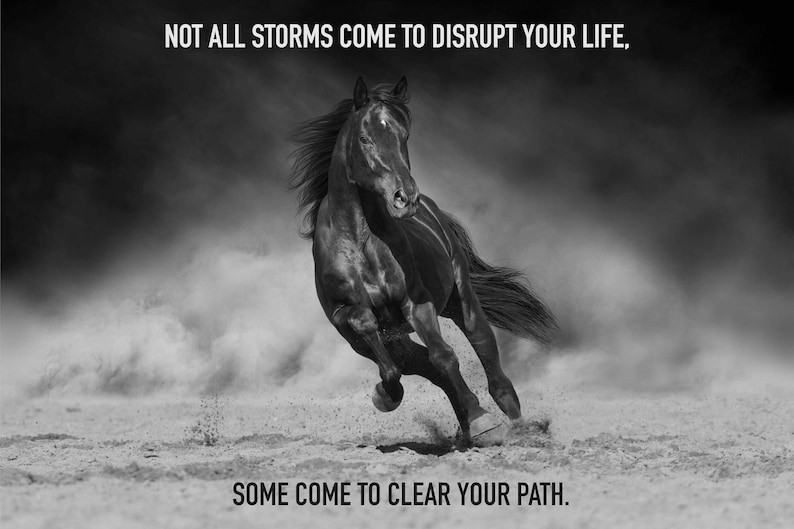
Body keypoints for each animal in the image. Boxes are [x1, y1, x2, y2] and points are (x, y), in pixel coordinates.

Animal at [288, 76, 556, 442]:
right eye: (365, 139)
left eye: (404, 136)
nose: (405, 198)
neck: (360, 243)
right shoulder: (346, 319)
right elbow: (384, 347)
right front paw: (386, 395)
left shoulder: (416, 304)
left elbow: (445, 356)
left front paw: (483, 421)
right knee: (421, 365)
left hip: (460, 299)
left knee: (483, 348)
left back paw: (513, 423)